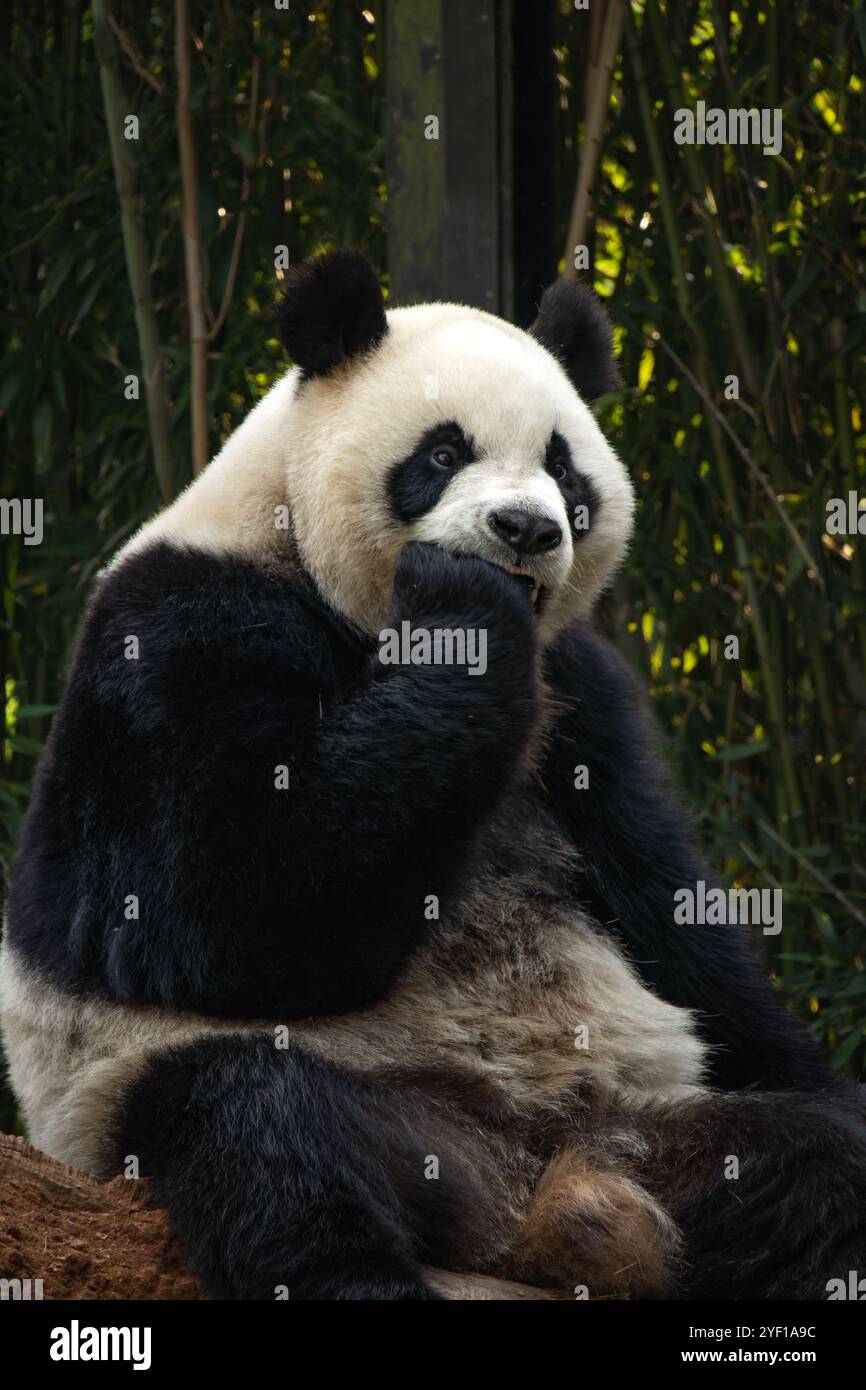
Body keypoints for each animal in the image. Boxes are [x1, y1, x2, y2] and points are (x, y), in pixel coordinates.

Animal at [2, 250, 865, 1301]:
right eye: (443, 455)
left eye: (562, 465)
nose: (524, 529)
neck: (353, 607)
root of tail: (534, 1191)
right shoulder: (171, 639)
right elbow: (215, 904)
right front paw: (463, 606)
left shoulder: (582, 693)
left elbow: (670, 908)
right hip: (194, 1084)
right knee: (270, 1141)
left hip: (663, 1126)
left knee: (822, 1157)